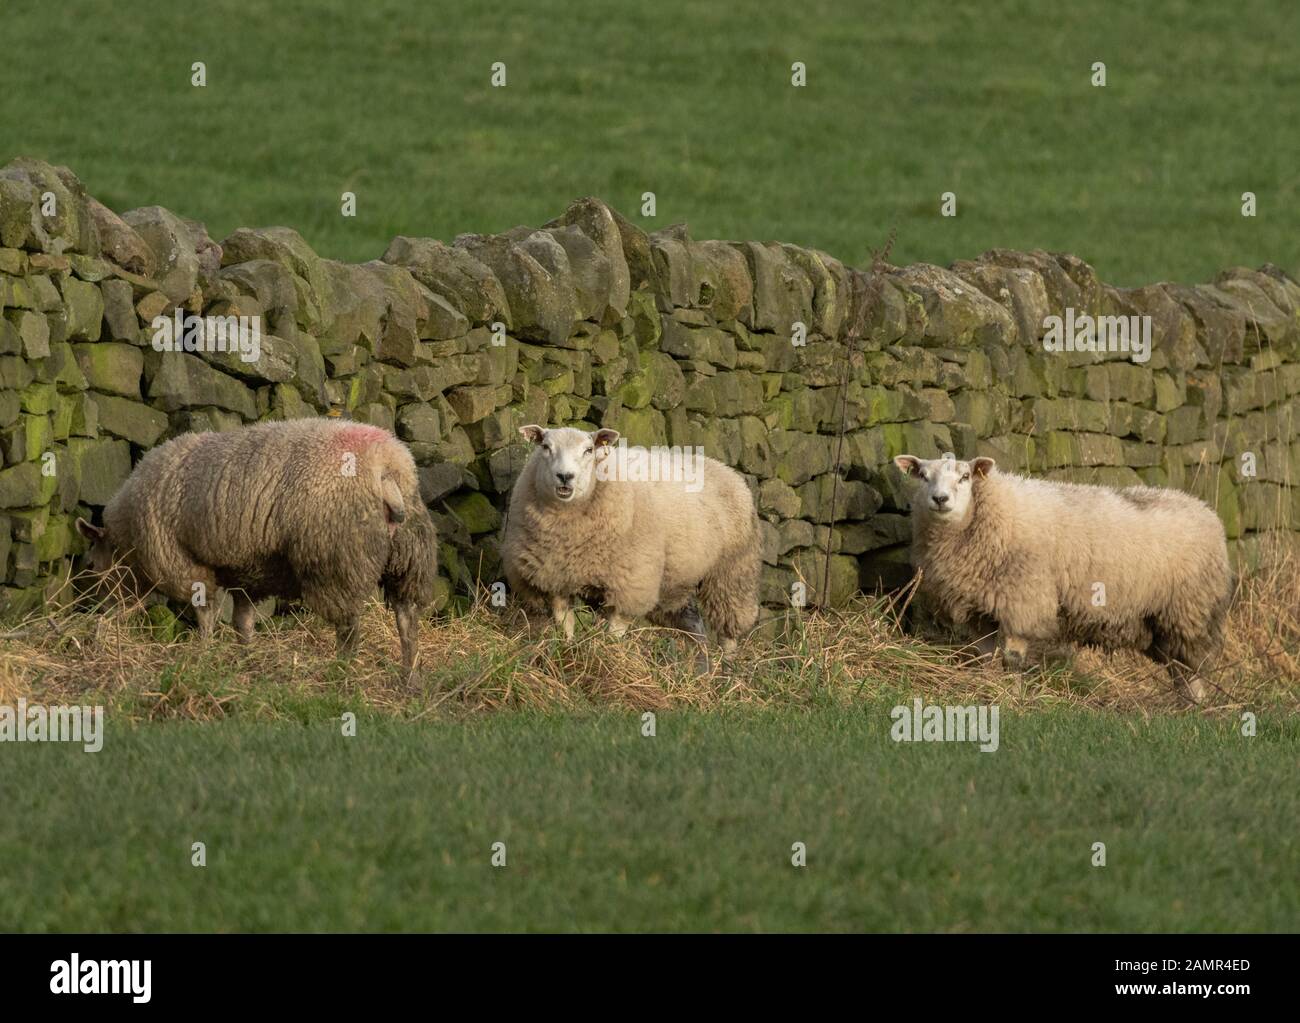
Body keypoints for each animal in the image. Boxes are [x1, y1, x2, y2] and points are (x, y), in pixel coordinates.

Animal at [75, 417, 438, 674]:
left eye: (91, 566)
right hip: (410, 556)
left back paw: (342, 671)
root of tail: (388, 467)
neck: (129, 546)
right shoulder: (248, 573)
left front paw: (203, 655)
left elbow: (206, 615)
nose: (99, 612)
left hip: (337, 557)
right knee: (407, 619)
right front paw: (245, 658)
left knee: (349, 626)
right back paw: (410, 678)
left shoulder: (187, 566)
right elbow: (242, 622)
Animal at [501, 425, 760, 655]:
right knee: (695, 627)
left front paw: (608, 656)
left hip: (732, 574)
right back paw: (701, 666)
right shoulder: (554, 577)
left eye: (588, 450)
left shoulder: (632, 582)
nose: (565, 476)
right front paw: (567, 650)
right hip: (675, 583)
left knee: (728, 628)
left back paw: (726, 667)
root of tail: (728, 469)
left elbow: (614, 633)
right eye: (545, 447)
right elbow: (564, 624)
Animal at [893, 453, 1231, 701]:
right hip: (1160, 620)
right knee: (1178, 668)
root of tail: (1206, 510)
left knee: (1193, 668)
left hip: (1190, 611)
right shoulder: (981, 609)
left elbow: (1012, 659)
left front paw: (1012, 696)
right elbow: (983, 658)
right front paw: (987, 690)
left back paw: (1196, 708)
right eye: (923, 476)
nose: (940, 499)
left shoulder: (1023, 601)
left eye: (965, 477)